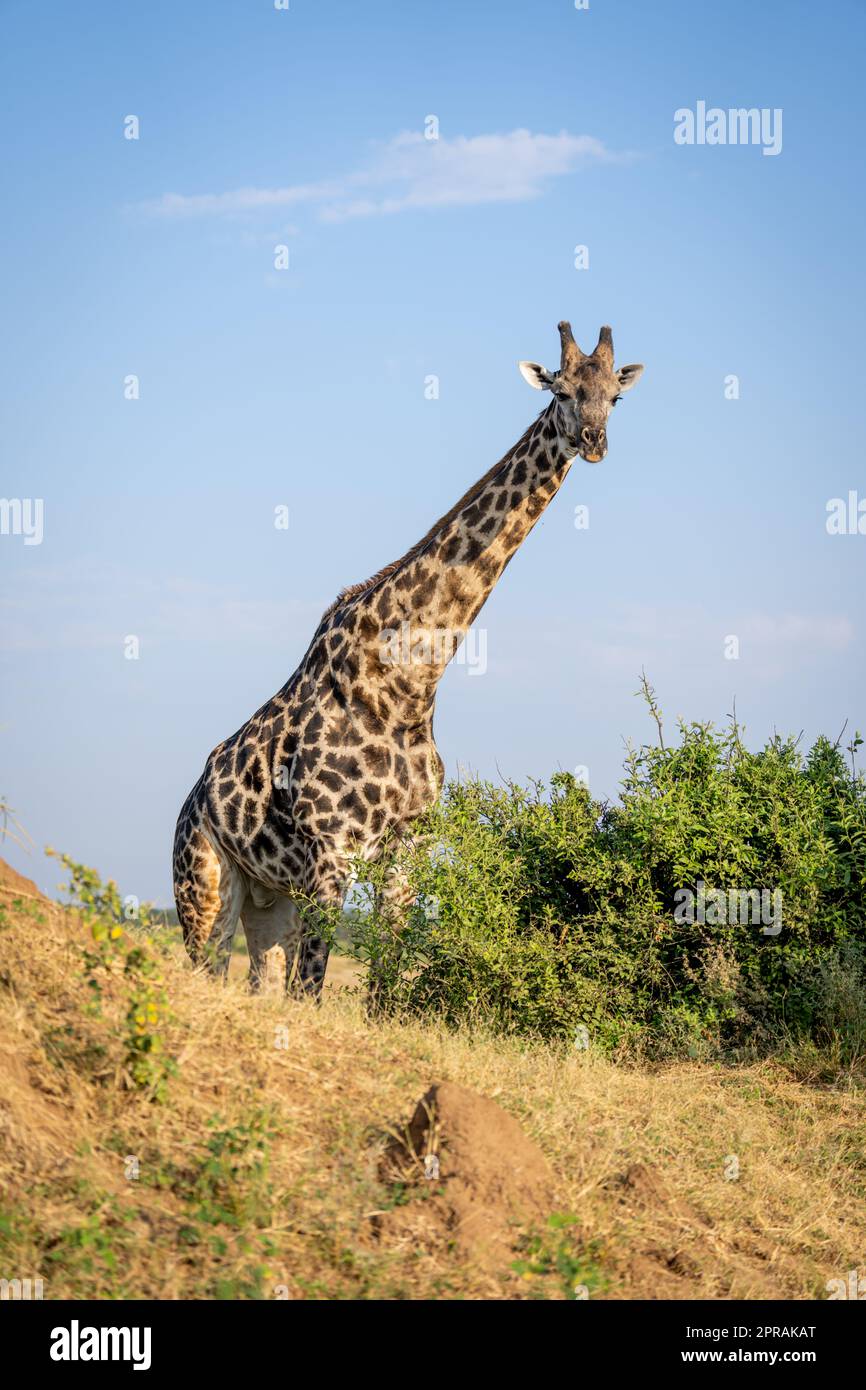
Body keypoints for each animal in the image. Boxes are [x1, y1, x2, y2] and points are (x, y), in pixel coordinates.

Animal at [172, 321, 643, 997]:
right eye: (562, 390)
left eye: (616, 397)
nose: (594, 441)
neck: (409, 682)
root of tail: (190, 801)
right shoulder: (331, 848)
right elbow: (314, 986)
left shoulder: (407, 849)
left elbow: (383, 980)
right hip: (205, 885)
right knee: (208, 972)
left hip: (271, 897)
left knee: (262, 982)